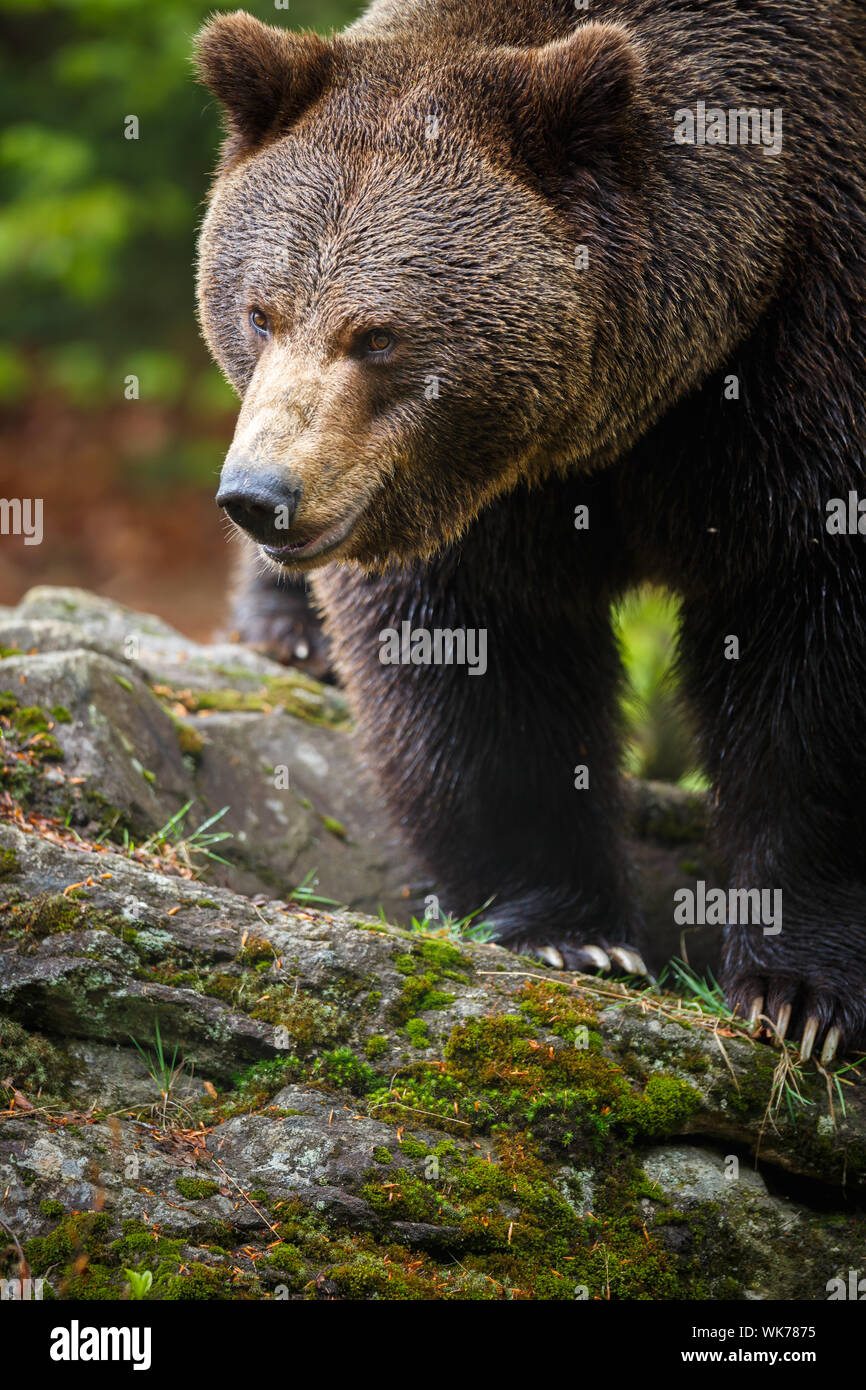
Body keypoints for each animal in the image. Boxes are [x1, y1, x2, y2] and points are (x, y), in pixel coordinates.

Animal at [194, 1, 866, 1063]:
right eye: (261, 313)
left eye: (377, 335)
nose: (263, 495)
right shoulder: (475, 494)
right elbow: (480, 660)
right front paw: (566, 929)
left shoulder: (806, 359)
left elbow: (809, 655)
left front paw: (800, 993)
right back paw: (288, 631)